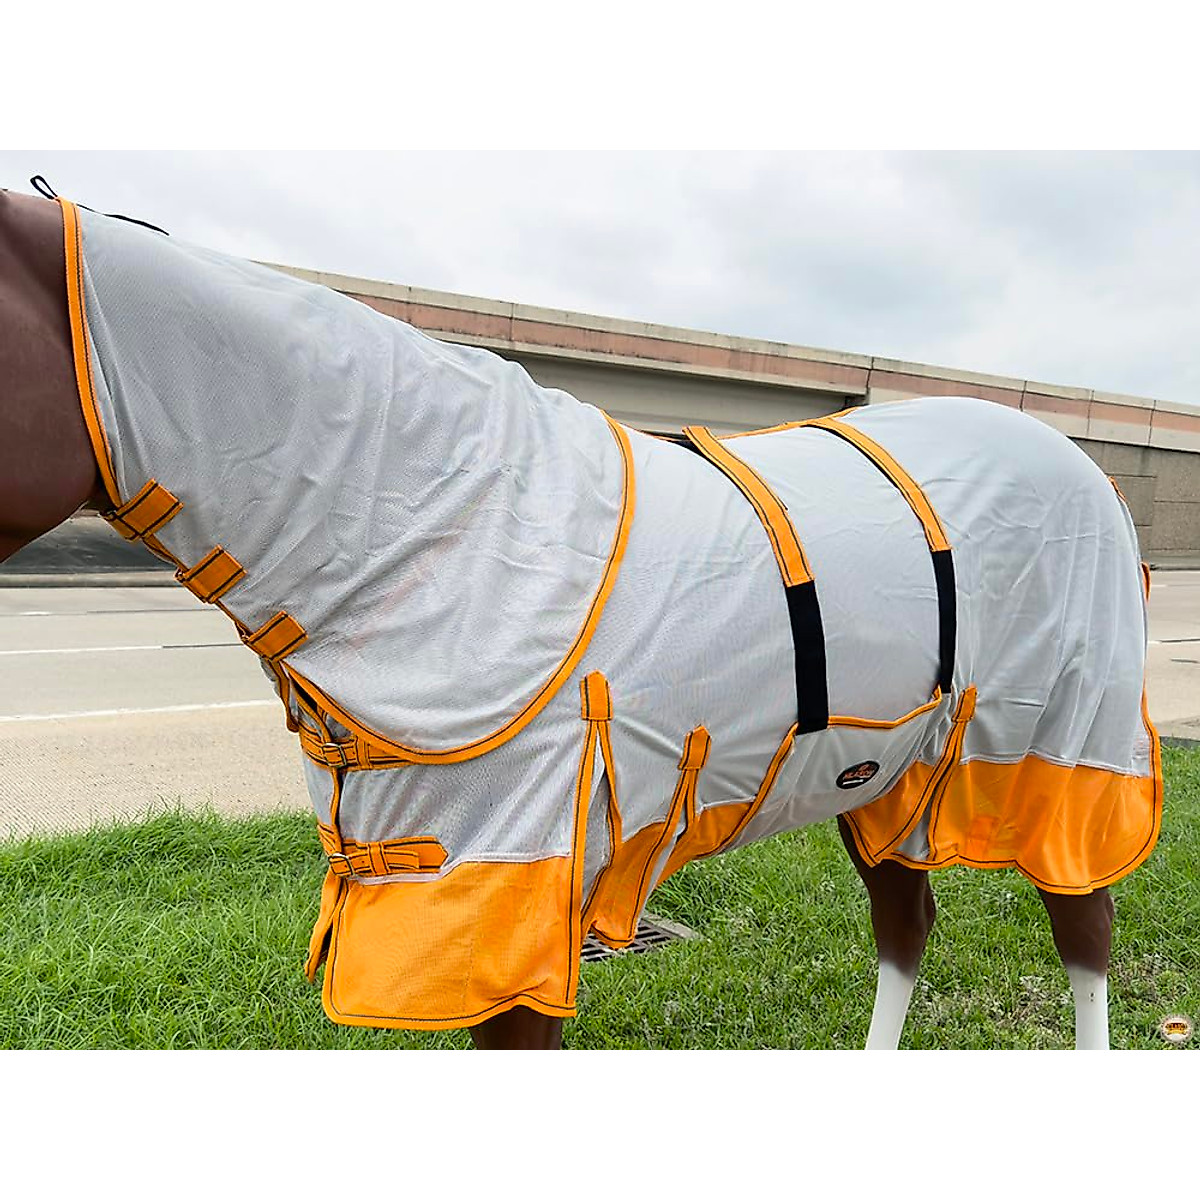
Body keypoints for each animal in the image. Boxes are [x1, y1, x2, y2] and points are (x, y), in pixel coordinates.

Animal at [0, 184, 1161, 1050]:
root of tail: (1081, 468)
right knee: (906, 923)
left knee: (1083, 926)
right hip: (888, 772)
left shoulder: (510, 907)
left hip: (1062, 754)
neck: (437, 517)